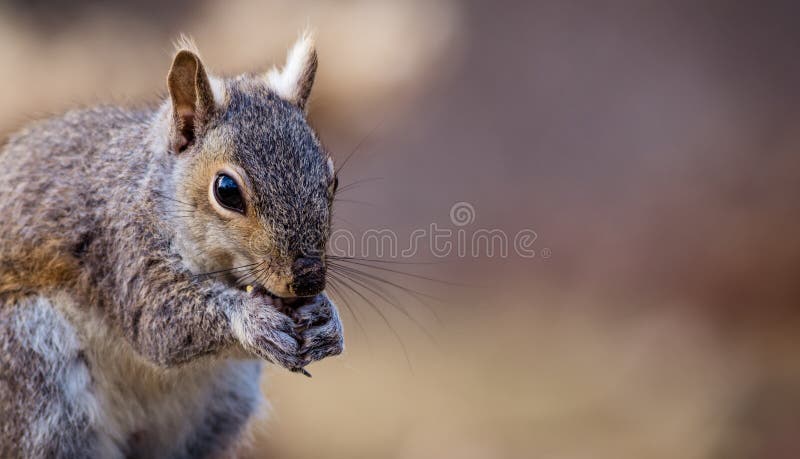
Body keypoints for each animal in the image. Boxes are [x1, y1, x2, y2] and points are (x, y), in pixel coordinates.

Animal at [0, 32, 344, 458]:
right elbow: (156, 322)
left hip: (223, 403)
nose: (309, 279)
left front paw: (326, 319)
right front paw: (252, 319)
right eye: (226, 190)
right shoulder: (121, 248)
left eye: (332, 181)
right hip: (35, 375)